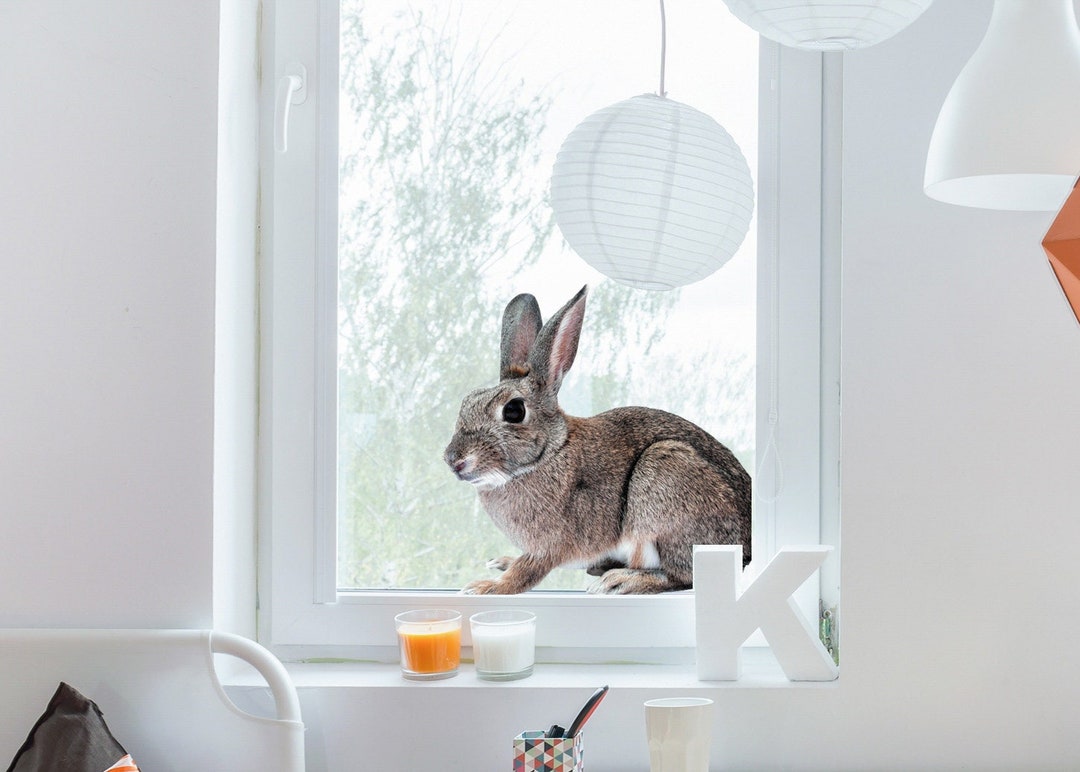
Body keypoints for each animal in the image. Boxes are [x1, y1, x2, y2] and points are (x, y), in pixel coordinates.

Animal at [443, 286, 751, 595]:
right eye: (466, 401)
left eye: (514, 411)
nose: (453, 460)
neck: (550, 454)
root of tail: (748, 549)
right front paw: (502, 562)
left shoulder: (550, 544)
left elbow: (527, 572)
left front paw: (486, 587)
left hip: (664, 478)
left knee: (684, 575)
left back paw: (621, 579)